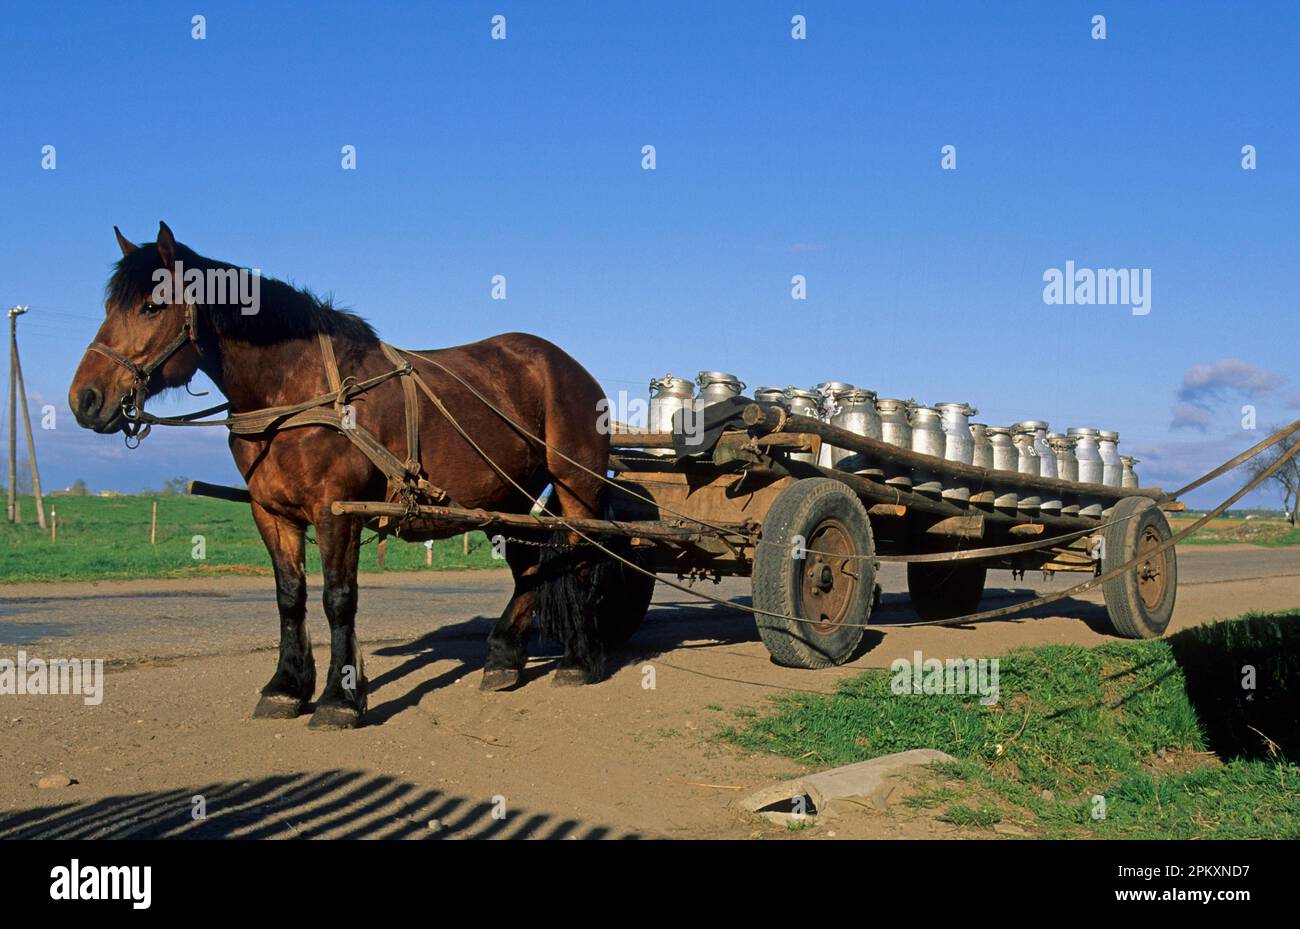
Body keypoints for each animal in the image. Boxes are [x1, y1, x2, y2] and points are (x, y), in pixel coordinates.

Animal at [69, 222, 618, 729]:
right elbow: (290, 598)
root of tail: (569, 367)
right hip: (504, 498)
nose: (85, 399)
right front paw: (286, 687)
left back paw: (577, 661)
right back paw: (504, 658)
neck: (296, 393)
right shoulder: (272, 513)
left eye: (151, 307)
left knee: (582, 558)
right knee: (530, 567)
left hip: (577, 487)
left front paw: (339, 698)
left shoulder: (337, 511)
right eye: (110, 306)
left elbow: (338, 600)